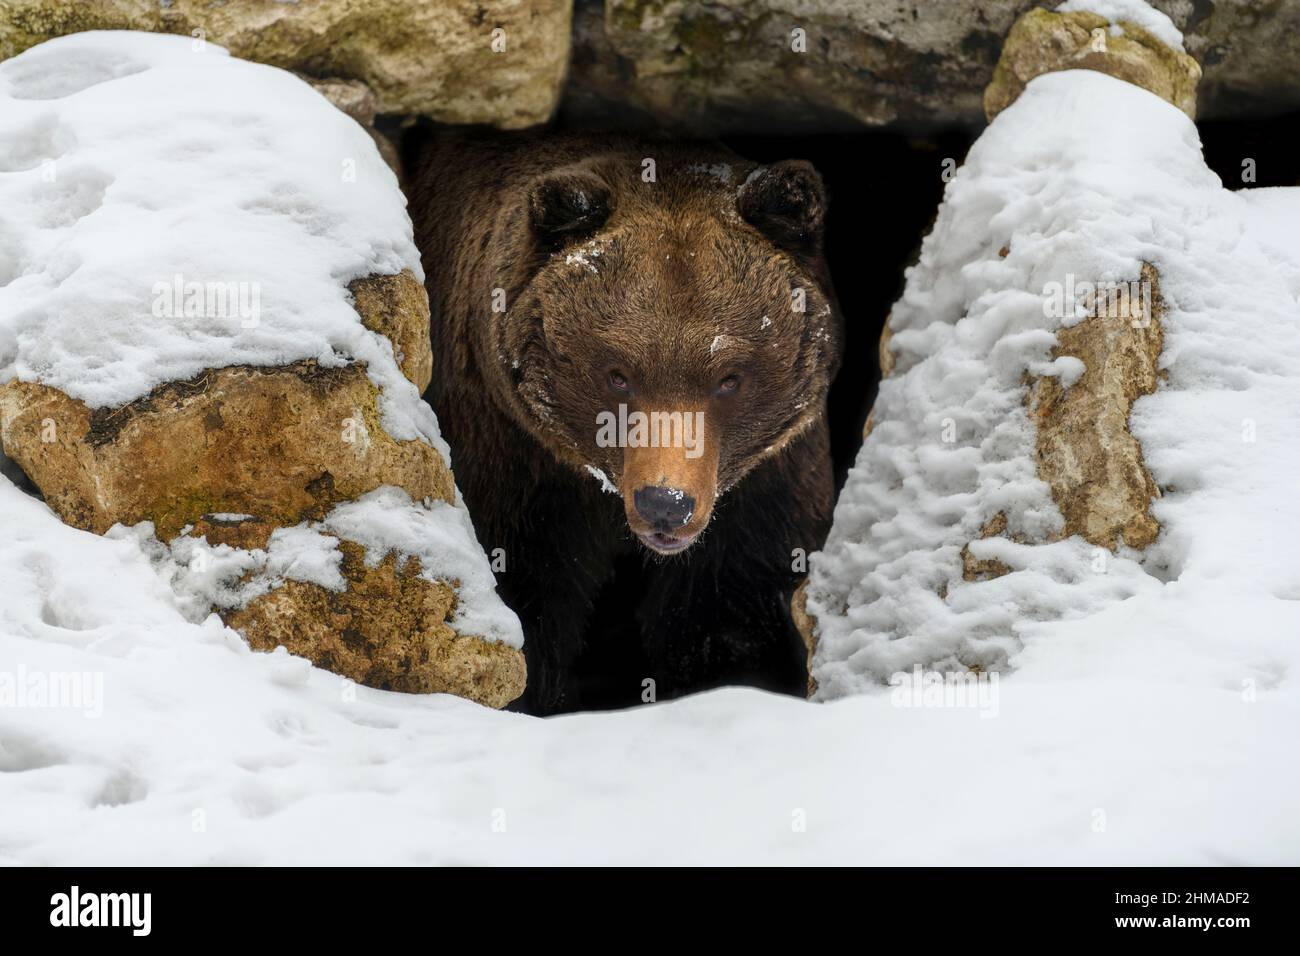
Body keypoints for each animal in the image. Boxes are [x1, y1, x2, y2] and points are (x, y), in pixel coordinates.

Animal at [404, 130, 844, 715]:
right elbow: (526, 591)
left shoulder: (765, 487)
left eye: (729, 378)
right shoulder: (515, 459)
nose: (666, 503)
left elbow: (728, 616)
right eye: (618, 374)